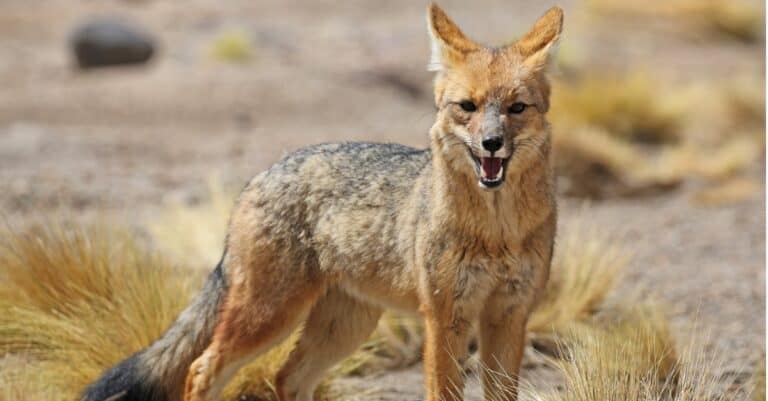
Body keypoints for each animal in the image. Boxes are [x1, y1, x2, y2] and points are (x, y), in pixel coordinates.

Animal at [83, 3, 562, 401]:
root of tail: (260, 176)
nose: (492, 143)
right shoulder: (445, 316)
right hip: (270, 315)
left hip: (344, 326)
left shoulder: (509, 315)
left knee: (288, 378)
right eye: (468, 106)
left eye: (517, 108)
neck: (497, 232)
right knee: (203, 369)